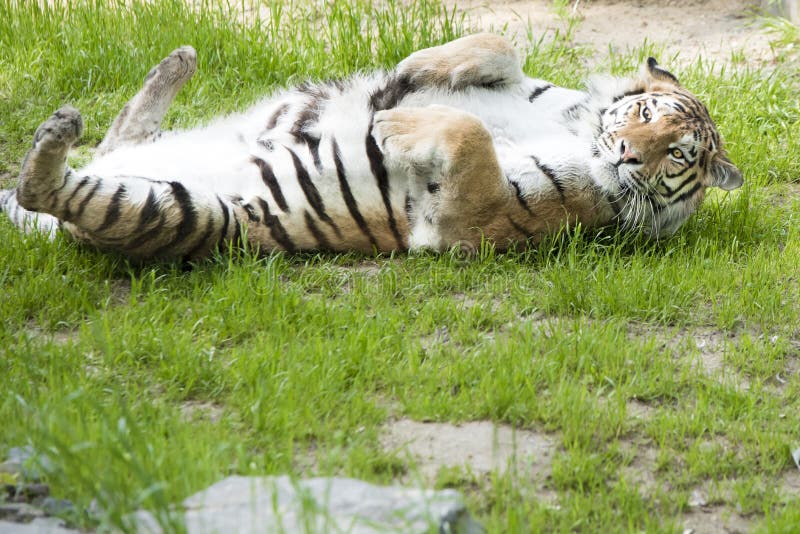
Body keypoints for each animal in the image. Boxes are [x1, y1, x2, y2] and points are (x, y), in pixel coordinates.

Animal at [0, 33, 742, 261]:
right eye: (644, 112)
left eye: (678, 155)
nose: (628, 154)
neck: (583, 128)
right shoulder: (525, 80)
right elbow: (499, 43)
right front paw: (416, 73)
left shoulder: (472, 219)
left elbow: (471, 133)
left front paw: (392, 127)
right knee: (116, 136)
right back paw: (176, 61)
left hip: (189, 214)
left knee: (49, 186)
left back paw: (54, 138)